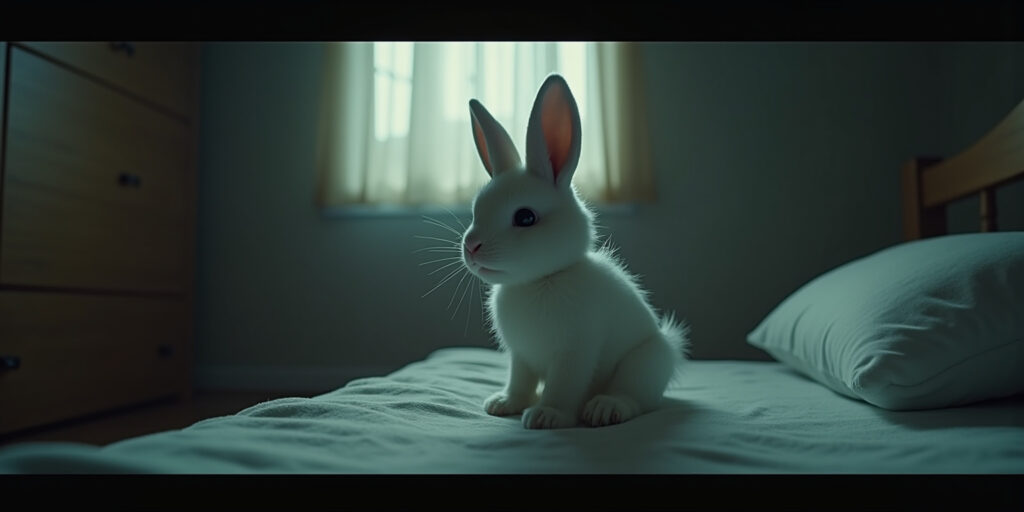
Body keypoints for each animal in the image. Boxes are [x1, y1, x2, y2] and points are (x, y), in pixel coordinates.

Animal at [462, 73, 689, 429]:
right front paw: (504, 404)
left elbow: (563, 385)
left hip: (647, 361)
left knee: (636, 399)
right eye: (475, 211)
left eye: (525, 217)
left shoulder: (575, 353)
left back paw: (604, 409)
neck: (539, 280)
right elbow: (519, 382)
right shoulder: (520, 356)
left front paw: (545, 416)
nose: (471, 247)